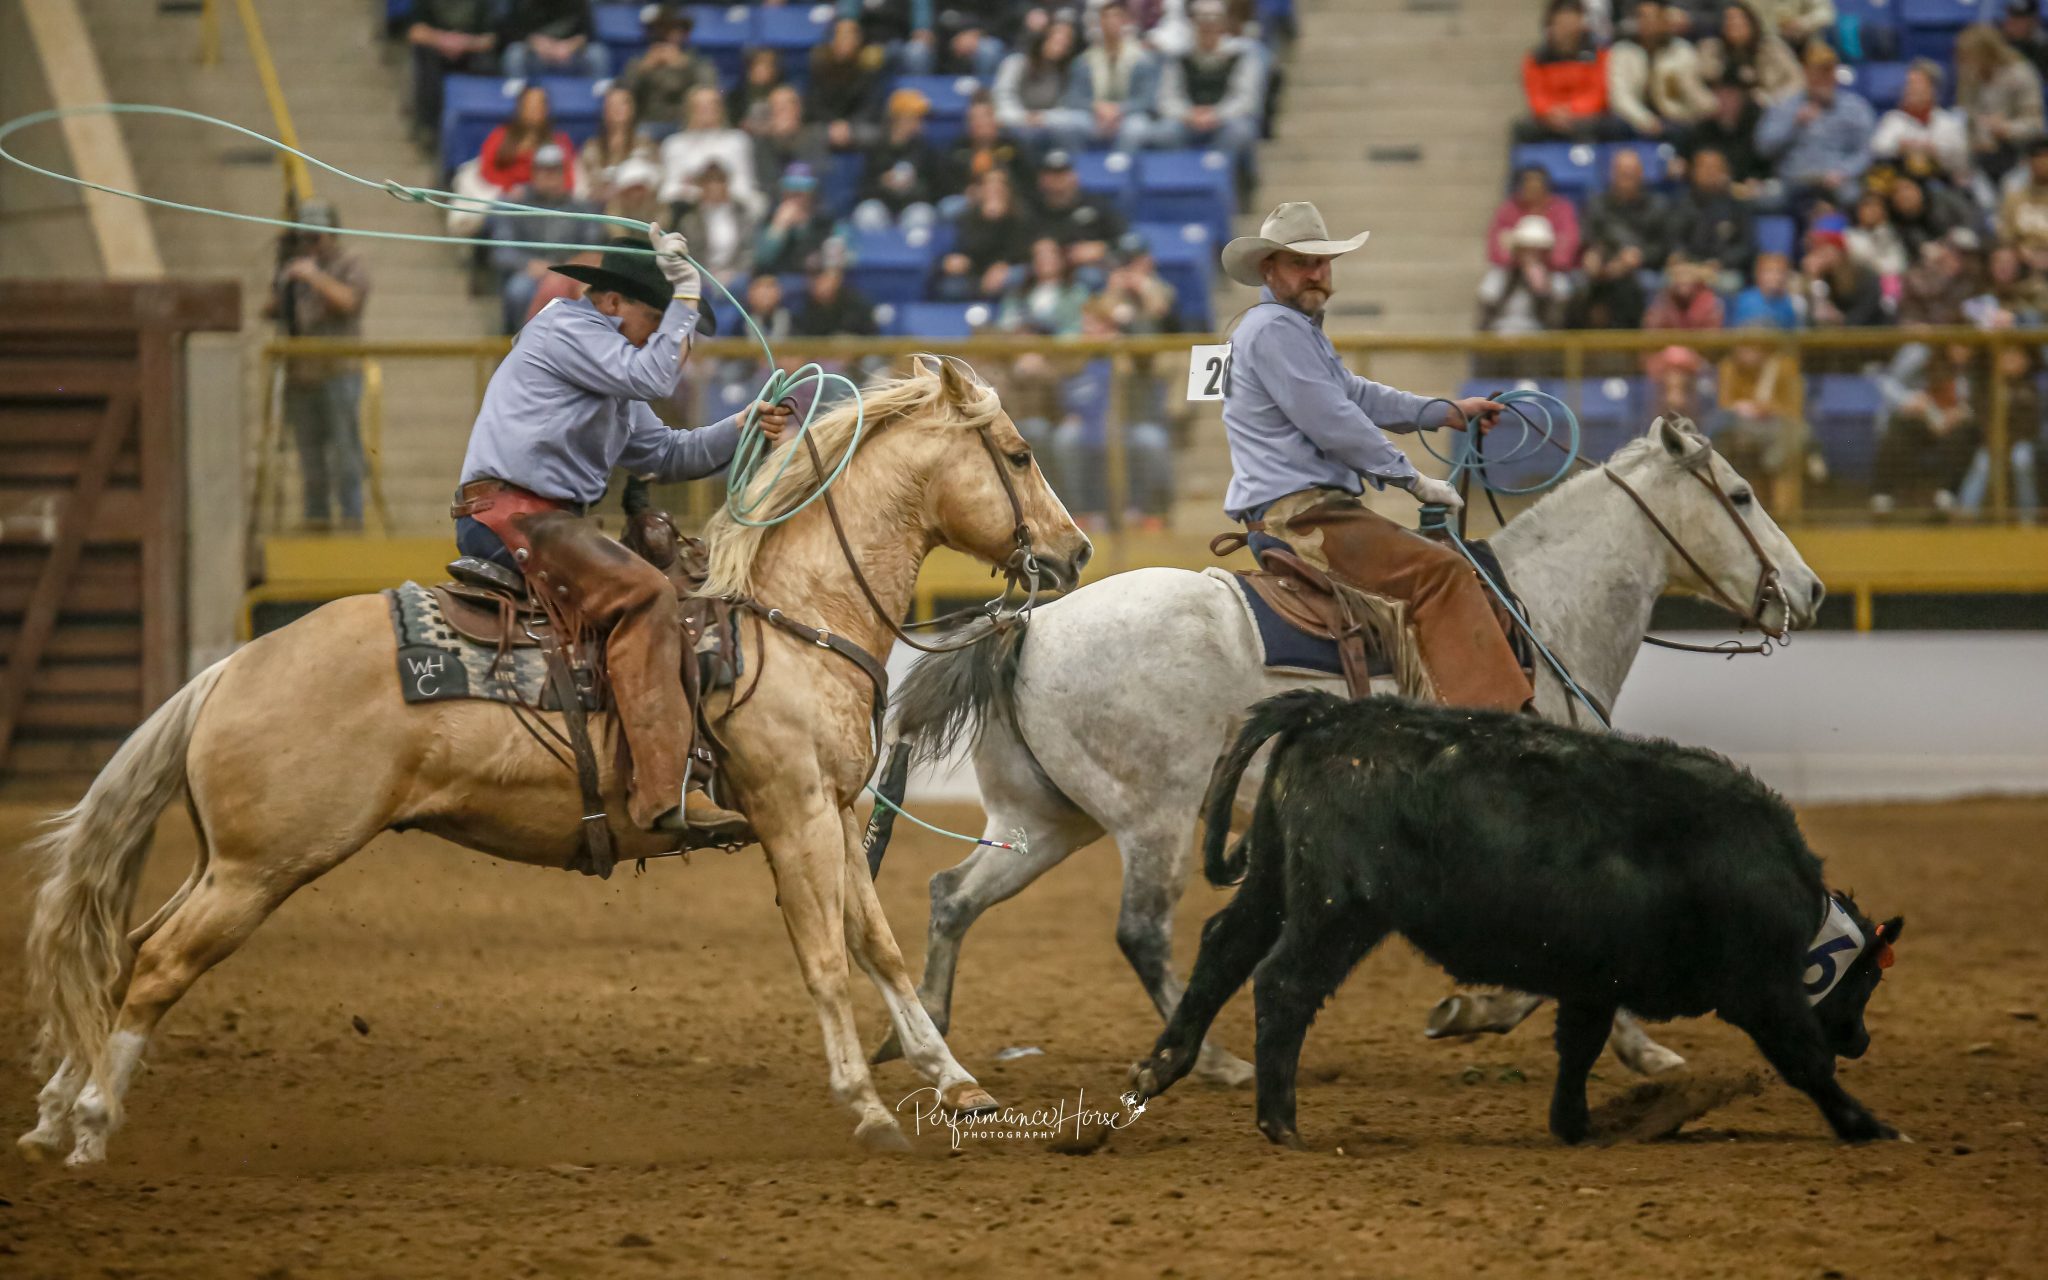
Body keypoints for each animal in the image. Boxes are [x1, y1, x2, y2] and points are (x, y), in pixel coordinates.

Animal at [17, 357, 1090, 1165]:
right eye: (1020, 453)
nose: (1075, 551)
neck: (790, 618)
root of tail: (230, 669)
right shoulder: (790, 812)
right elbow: (826, 957)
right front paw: (866, 1107)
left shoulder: (834, 808)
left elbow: (881, 948)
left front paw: (958, 1084)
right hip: (262, 867)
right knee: (157, 963)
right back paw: (93, 1127)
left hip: (227, 860)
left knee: (123, 951)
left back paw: (56, 1114)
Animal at [876, 416, 1825, 1085]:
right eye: (1742, 495)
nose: (1810, 589)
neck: (1540, 614)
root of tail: (1026, 628)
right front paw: (1511, 1018)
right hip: (1154, 820)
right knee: (1141, 932)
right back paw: (1211, 1059)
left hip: (1045, 821)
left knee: (952, 896)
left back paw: (924, 1033)